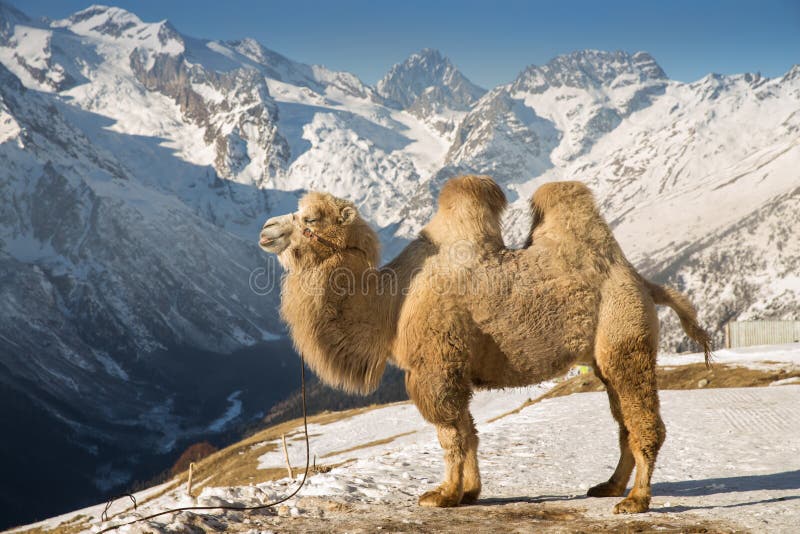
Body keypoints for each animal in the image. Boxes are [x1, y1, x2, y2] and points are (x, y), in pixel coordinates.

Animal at [258, 175, 711, 514]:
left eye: (310, 216)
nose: (266, 230)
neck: (392, 302)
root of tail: (642, 282)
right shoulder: (454, 367)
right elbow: (468, 430)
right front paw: (469, 493)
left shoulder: (436, 366)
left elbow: (450, 433)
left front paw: (442, 495)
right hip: (602, 357)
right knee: (622, 420)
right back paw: (610, 486)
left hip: (624, 334)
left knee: (642, 419)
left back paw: (636, 500)